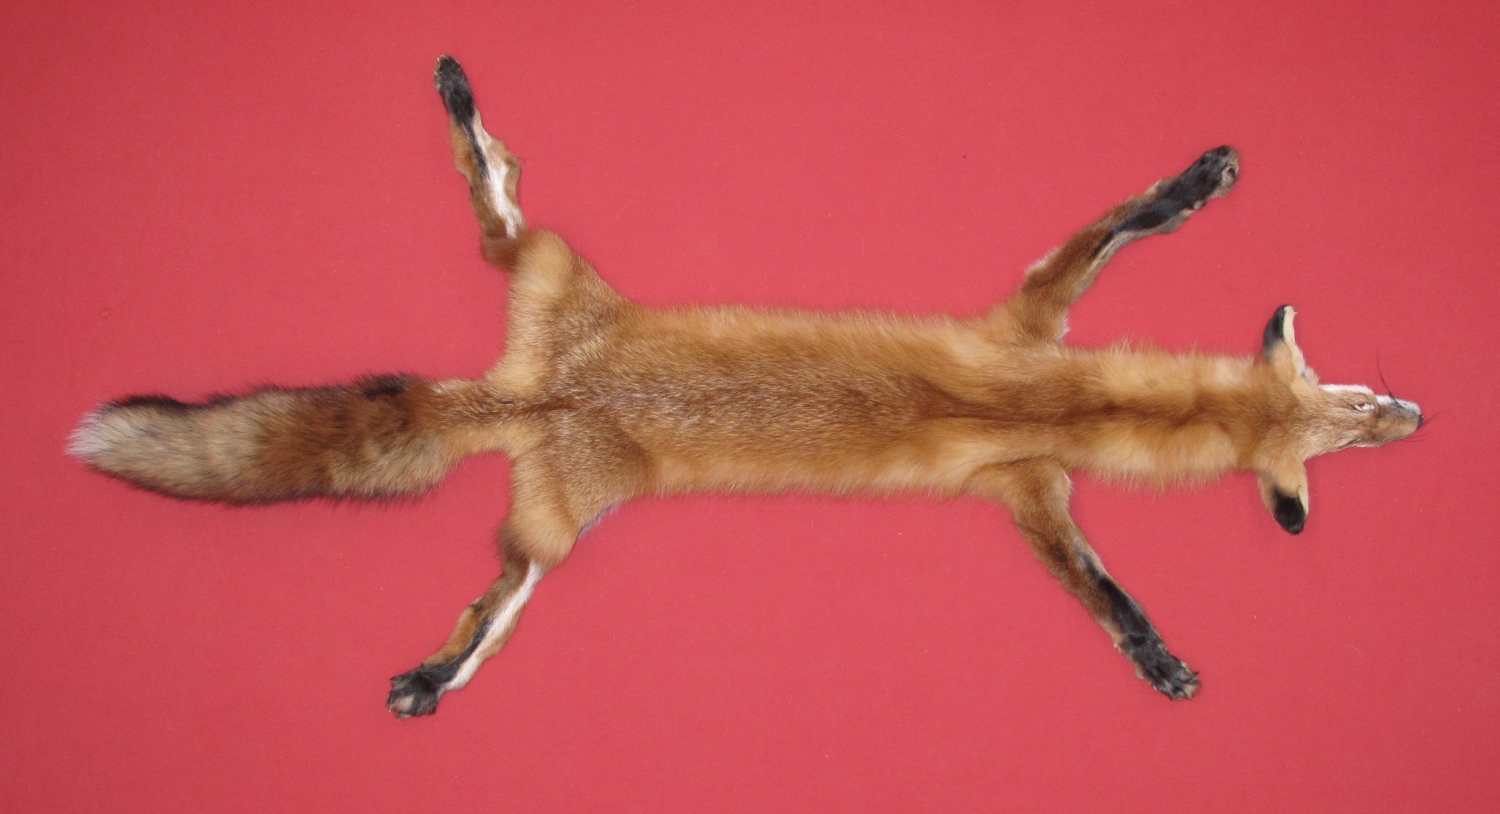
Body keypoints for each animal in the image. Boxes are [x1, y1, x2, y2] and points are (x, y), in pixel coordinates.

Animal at [70, 57, 1423, 718]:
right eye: (1356, 423)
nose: (1418, 413)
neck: (1073, 404)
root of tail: (531, 403)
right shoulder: (1034, 360)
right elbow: (1105, 587)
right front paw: (1157, 659)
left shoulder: (1035, 407)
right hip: (563, 481)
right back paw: (436, 677)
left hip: (548, 321)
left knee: (501, 242)